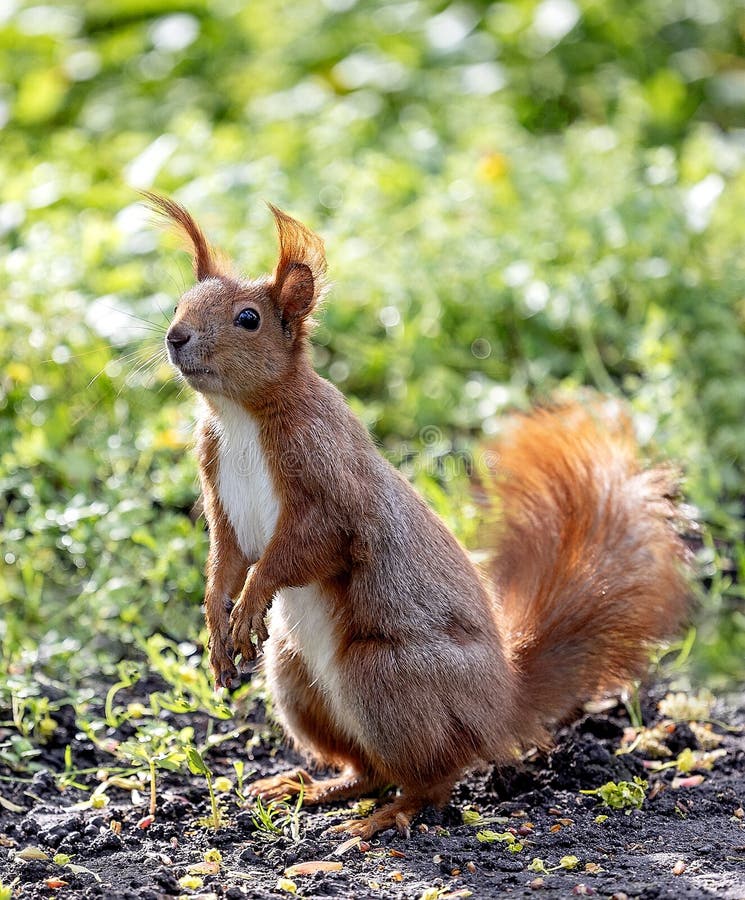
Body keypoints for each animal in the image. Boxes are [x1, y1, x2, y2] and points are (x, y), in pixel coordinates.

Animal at [147, 193, 691, 838]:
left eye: (248, 318)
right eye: (178, 303)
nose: (176, 337)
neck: (241, 415)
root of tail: (500, 705)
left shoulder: (330, 484)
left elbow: (306, 548)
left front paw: (252, 599)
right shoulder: (220, 491)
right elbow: (225, 559)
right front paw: (216, 626)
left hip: (383, 674)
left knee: (433, 777)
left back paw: (386, 817)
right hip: (296, 676)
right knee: (370, 768)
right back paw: (310, 788)